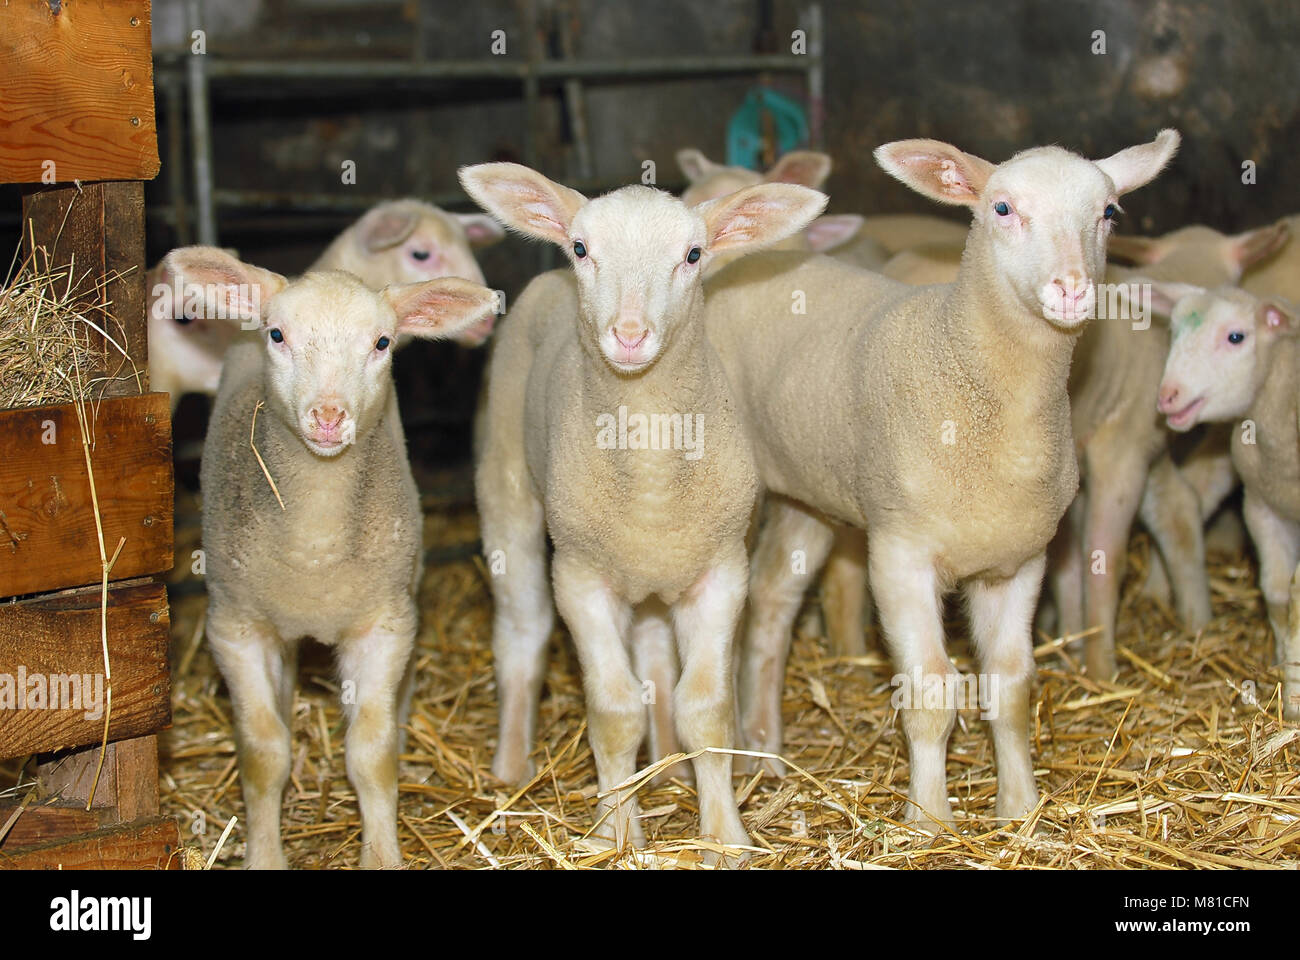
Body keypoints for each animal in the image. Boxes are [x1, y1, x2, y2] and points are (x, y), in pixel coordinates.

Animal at [167, 246, 499, 868]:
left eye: (382, 342)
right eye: (277, 334)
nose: (327, 417)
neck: (315, 547)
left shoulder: (383, 625)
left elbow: (371, 752)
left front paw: (383, 853)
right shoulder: (235, 627)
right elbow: (263, 752)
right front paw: (265, 855)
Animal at [463, 161, 826, 858]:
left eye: (693, 255)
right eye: (582, 248)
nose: (629, 336)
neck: (652, 475)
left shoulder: (720, 572)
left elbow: (705, 709)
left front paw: (724, 836)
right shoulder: (580, 579)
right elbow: (613, 711)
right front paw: (616, 834)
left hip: (657, 574)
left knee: (655, 653)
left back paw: (668, 772)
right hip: (506, 483)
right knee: (522, 629)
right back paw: (511, 767)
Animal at [701, 131, 1179, 828]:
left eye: (1109, 212)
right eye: (1003, 208)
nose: (1071, 289)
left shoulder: (1018, 561)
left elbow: (1010, 687)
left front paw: (1018, 809)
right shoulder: (901, 555)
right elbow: (930, 690)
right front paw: (929, 819)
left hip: (808, 488)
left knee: (770, 602)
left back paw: (766, 754)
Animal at [1154, 284, 1299, 720]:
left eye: (1236, 337)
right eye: (1174, 331)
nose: (1168, 396)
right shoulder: (1261, 507)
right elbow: (1277, 595)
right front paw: (1284, 673)